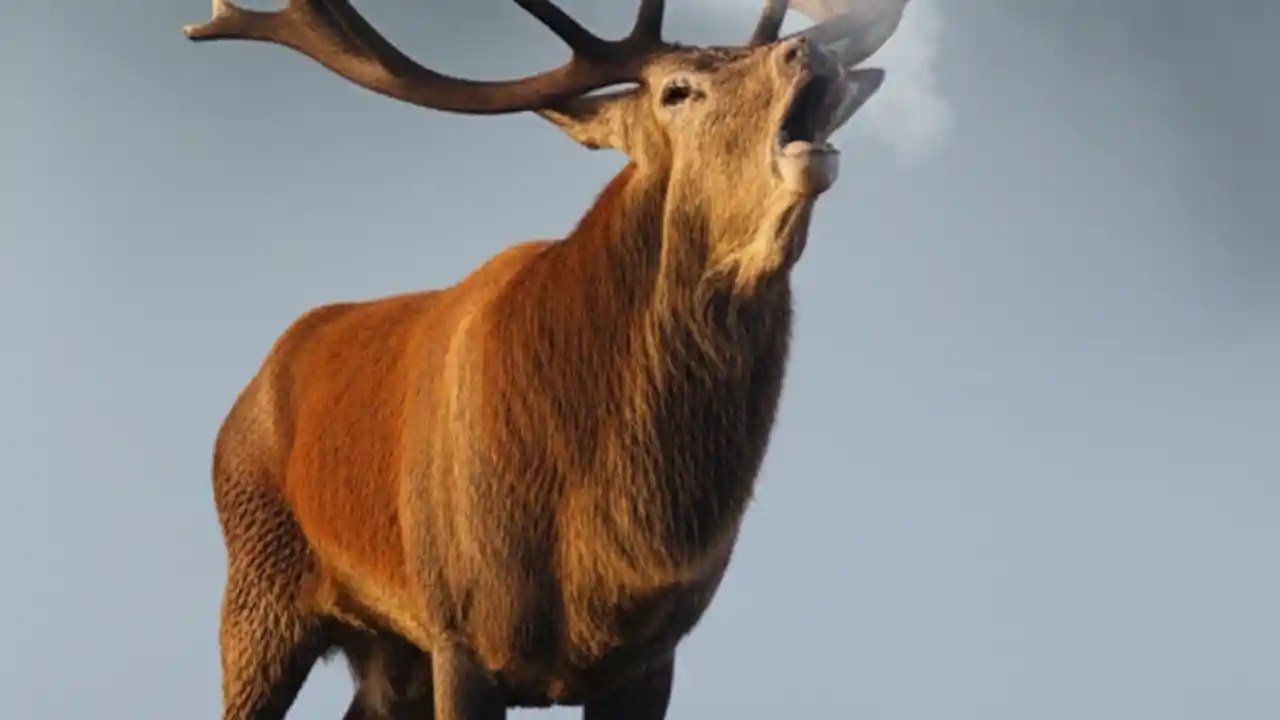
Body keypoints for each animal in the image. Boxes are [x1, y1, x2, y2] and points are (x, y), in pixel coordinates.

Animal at [183, 0, 907, 717]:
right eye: (677, 90)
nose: (808, 53)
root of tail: (246, 397)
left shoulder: (654, 651)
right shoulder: (459, 628)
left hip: (391, 653)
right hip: (258, 582)